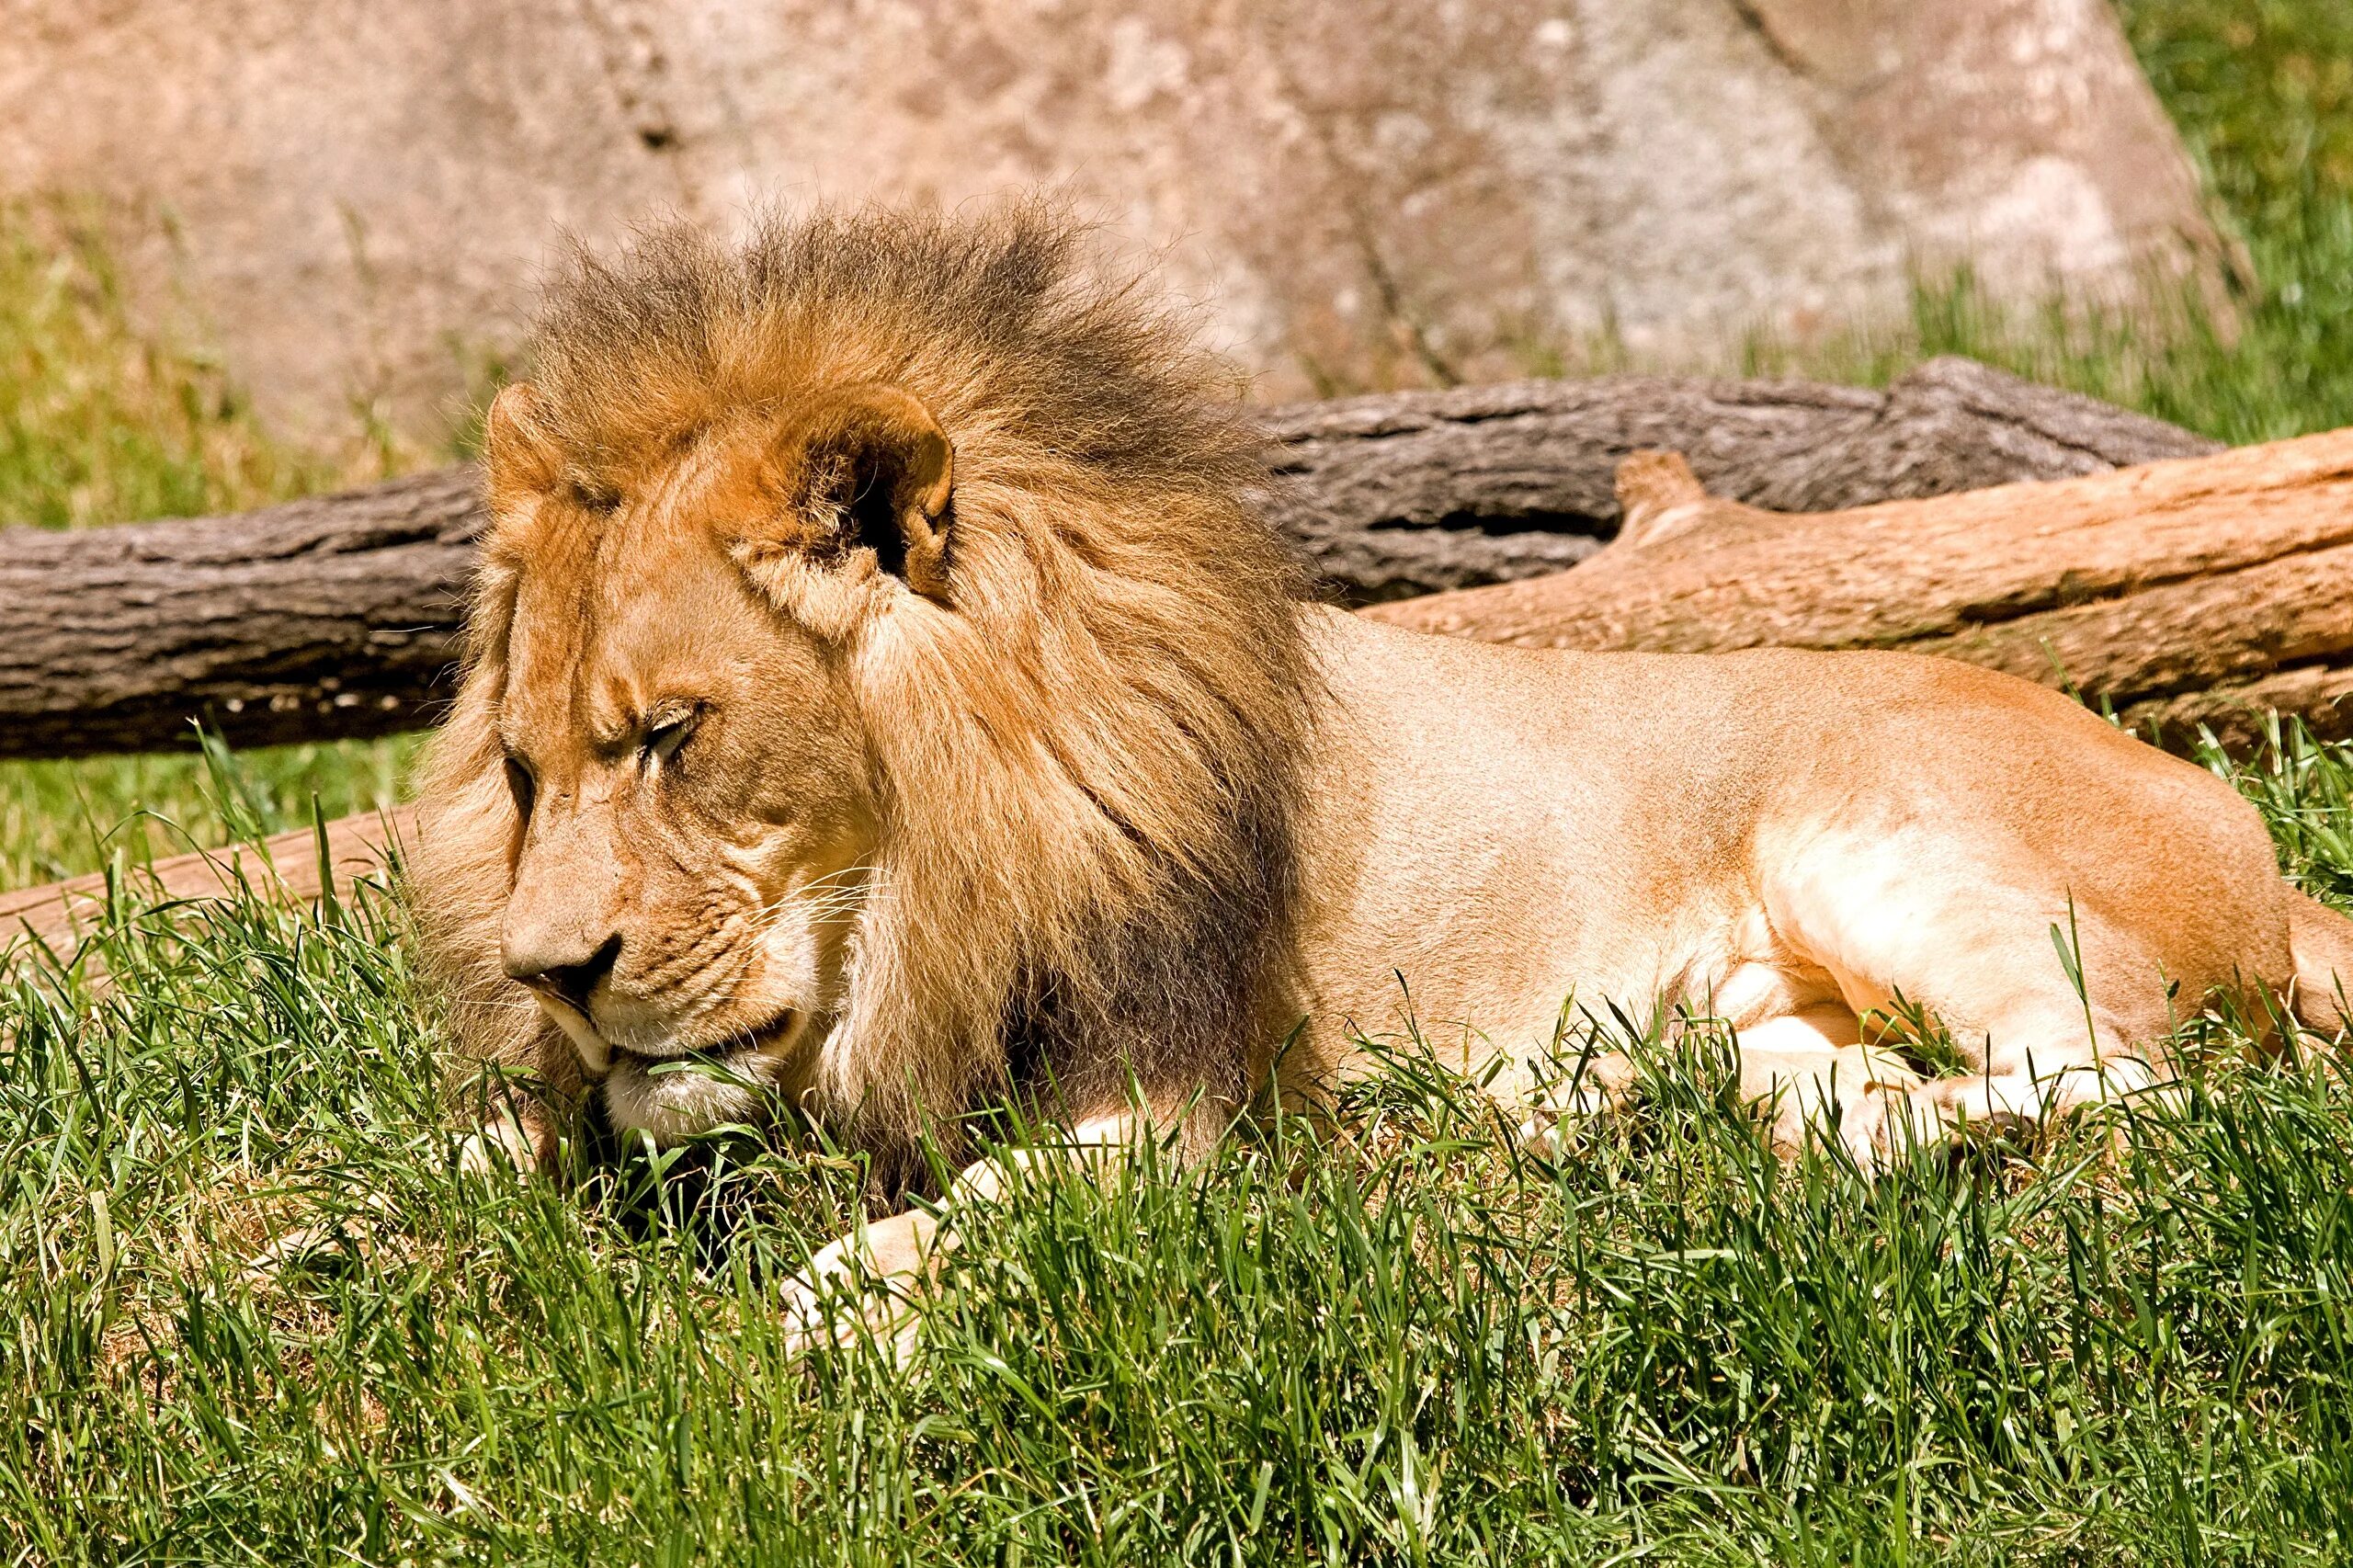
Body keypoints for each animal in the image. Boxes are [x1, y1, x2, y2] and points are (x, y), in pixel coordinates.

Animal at [410, 203, 2353, 1343]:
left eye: (675, 735)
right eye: (520, 769)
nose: (550, 973)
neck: (921, 902)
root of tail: (2241, 828)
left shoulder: (1194, 1103)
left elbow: (1013, 1199)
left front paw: (845, 1291)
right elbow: (488, 1152)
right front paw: (413, 1203)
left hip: (1877, 819)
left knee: (2126, 1083)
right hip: (1776, 989)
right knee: (1891, 1080)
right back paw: (1682, 1113)